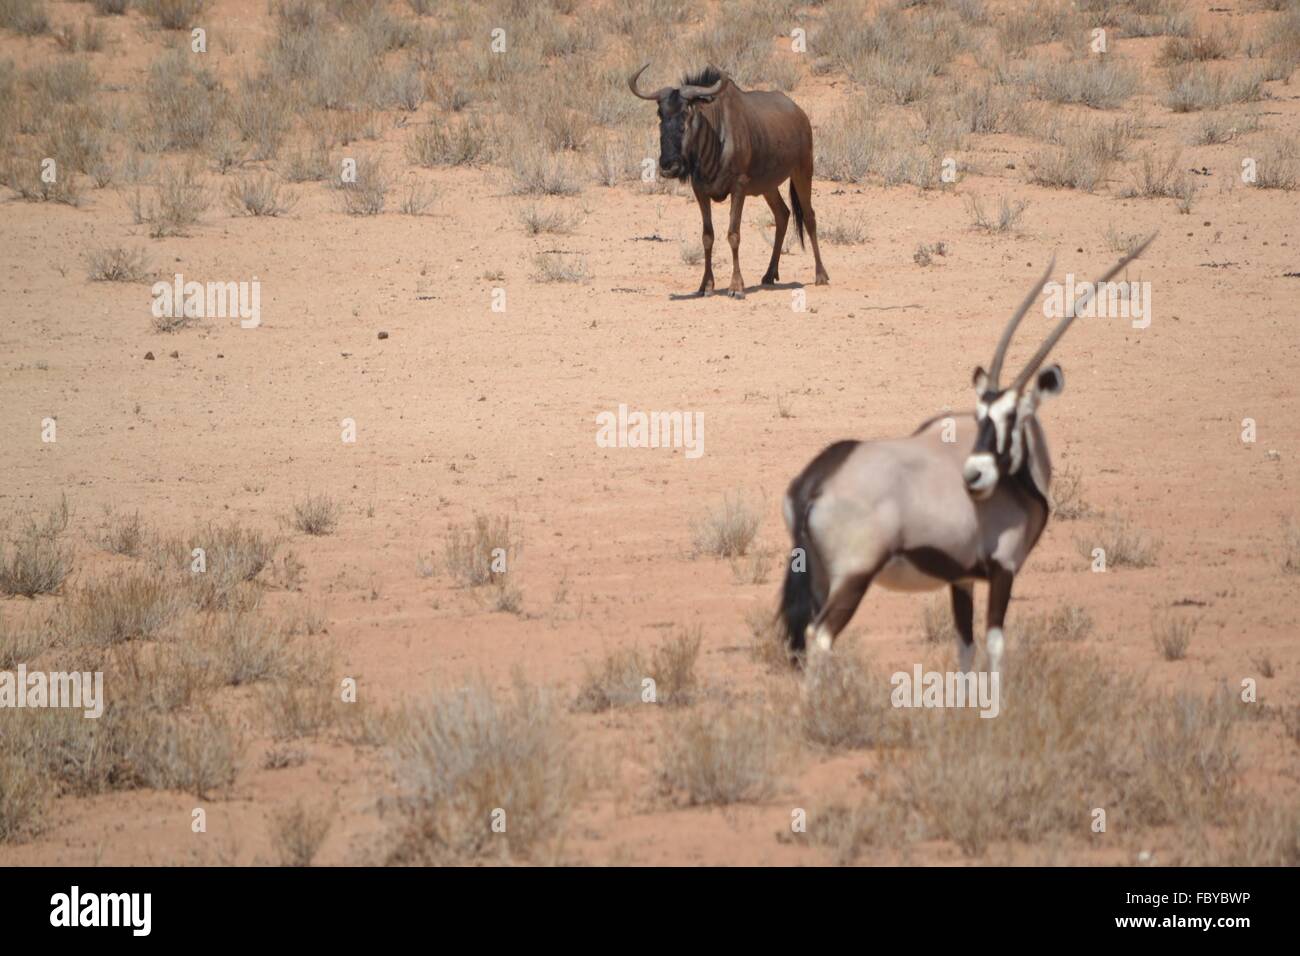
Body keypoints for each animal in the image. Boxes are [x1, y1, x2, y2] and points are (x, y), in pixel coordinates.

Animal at [629, 63, 829, 298]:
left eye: (687, 112)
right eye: (661, 113)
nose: (670, 165)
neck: (714, 138)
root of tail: (800, 113)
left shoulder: (738, 187)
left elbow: (734, 234)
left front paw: (736, 286)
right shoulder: (700, 191)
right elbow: (707, 236)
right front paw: (706, 285)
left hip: (803, 170)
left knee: (809, 216)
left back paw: (821, 275)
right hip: (768, 186)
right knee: (782, 214)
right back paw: (769, 274)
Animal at [778, 238, 1156, 673]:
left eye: (1011, 415)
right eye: (981, 416)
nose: (973, 475)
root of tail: (815, 483)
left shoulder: (960, 579)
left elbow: (965, 646)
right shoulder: (1003, 569)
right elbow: (994, 645)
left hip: (819, 575)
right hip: (854, 575)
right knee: (818, 637)